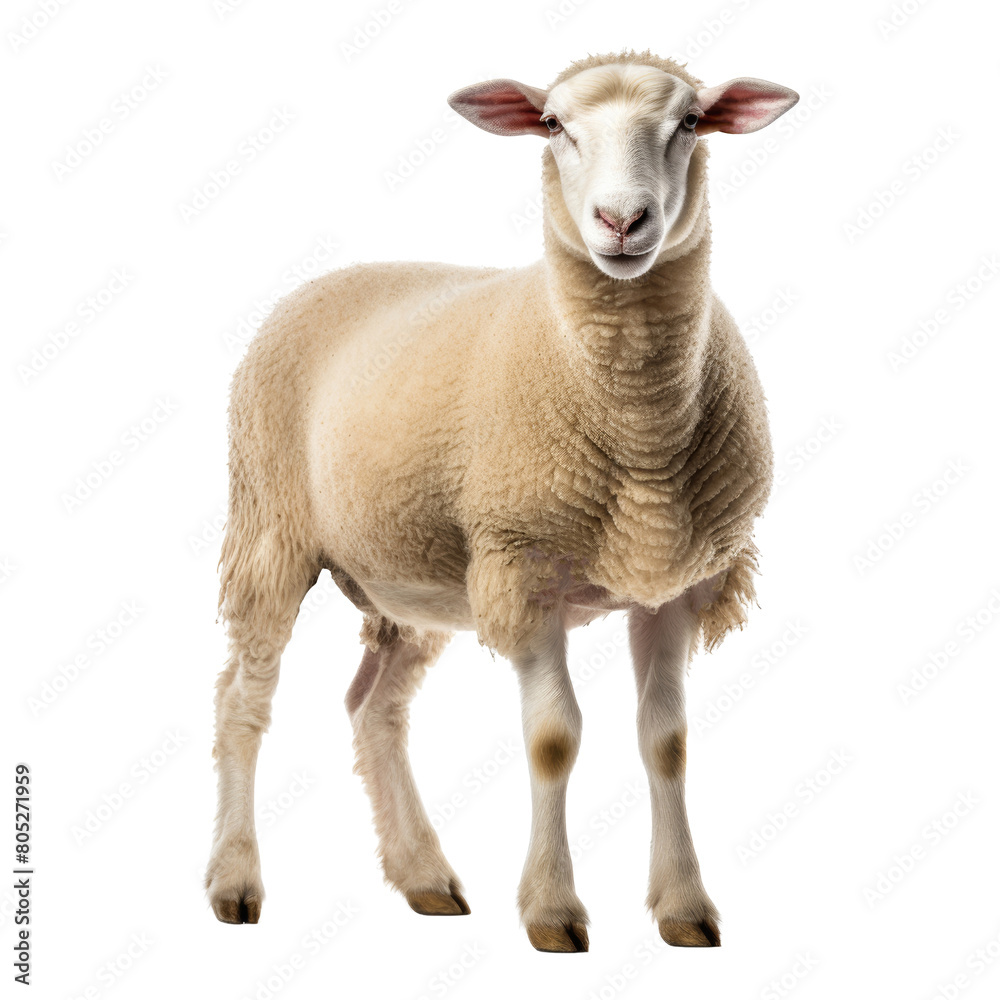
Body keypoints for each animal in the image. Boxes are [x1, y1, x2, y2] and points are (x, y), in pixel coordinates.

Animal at [205, 48, 799, 953]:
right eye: (554, 125)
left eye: (691, 121)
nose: (621, 220)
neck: (639, 435)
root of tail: (331, 278)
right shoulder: (524, 566)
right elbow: (554, 740)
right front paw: (553, 911)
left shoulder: (674, 585)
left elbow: (665, 743)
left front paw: (685, 907)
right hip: (270, 529)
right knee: (243, 699)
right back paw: (235, 882)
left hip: (412, 573)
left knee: (373, 708)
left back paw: (423, 877)